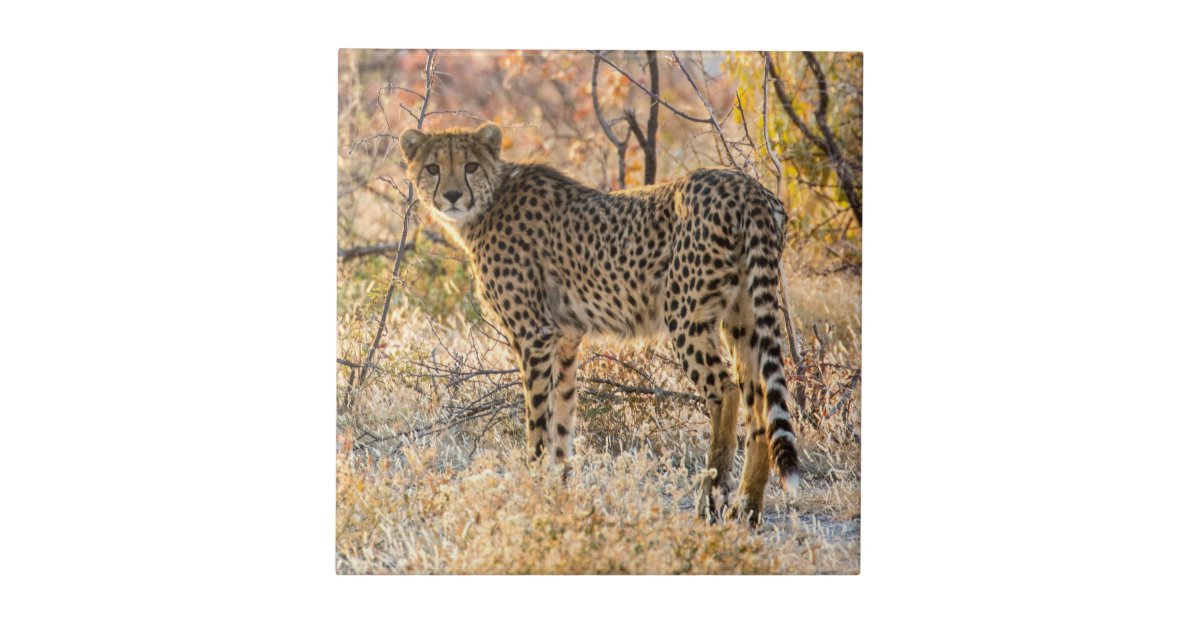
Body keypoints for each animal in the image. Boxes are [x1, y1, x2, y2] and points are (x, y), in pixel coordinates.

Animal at [400, 123, 802, 520]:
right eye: (433, 167)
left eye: (470, 166)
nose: (452, 195)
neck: (489, 201)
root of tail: (745, 186)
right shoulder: (565, 337)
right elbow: (562, 417)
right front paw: (560, 493)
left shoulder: (533, 335)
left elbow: (537, 421)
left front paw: (532, 488)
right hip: (742, 316)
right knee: (760, 403)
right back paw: (747, 508)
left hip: (685, 314)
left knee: (726, 390)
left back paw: (711, 500)